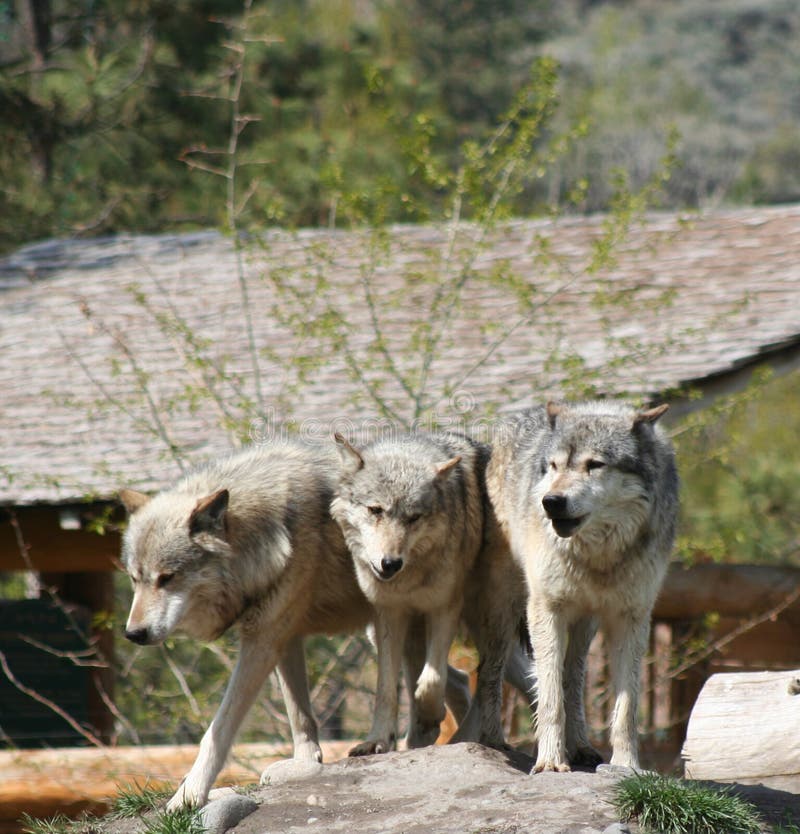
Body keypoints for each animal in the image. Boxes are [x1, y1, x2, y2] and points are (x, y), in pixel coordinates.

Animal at [331, 431, 528, 756]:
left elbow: (430, 681)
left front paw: (429, 716)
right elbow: (387, 688)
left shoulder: (444, 607)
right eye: (375, 510)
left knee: (487, 678)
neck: (411, 575)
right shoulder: (389, 614)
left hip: (493, 614)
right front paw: (377, 740)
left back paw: (481, 739)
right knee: (465, 679)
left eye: (414, 518)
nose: (390, 563)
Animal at [486, 401, 678, 773]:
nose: (550, 502)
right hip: (507, 609)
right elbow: (549, 698)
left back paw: (580, 747)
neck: (598, 556)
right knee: (493, 674)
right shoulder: (547, 610)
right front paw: (549, 762)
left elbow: (626, 709)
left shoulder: (631, 618)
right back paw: (489, 739)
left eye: (595, 465)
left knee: (573, 679)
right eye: (554, 466)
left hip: (584, 625)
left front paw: (628, 765)